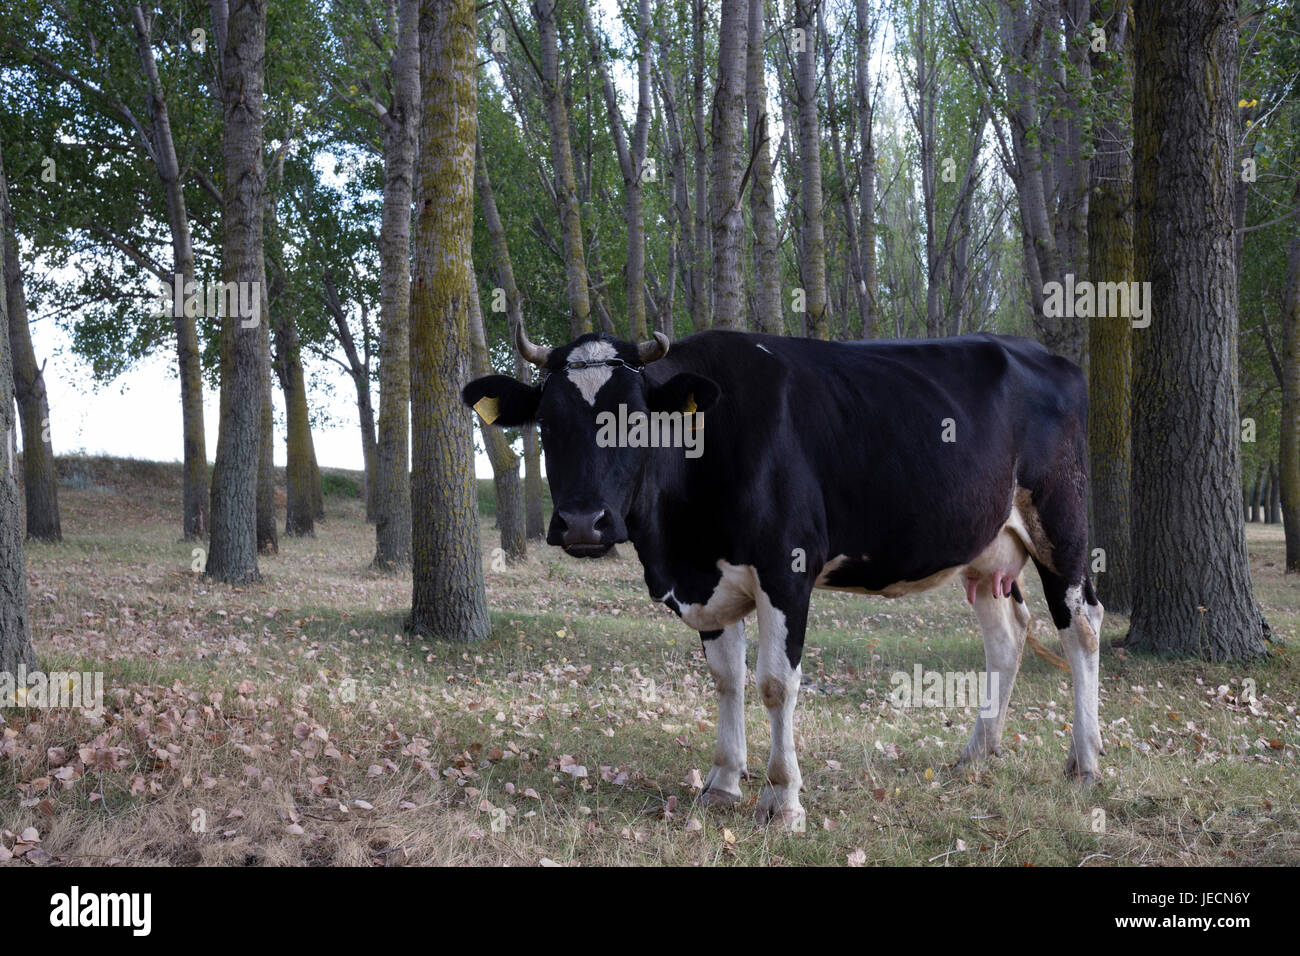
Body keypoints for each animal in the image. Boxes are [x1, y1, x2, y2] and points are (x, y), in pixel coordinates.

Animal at [463, 325, 1104, 828]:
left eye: (637, 420)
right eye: (546, 421)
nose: (581, 523)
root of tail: (1042, 352)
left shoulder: (785, 569)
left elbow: (775, 684)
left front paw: (782, 799)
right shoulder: (712, 583)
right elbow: (727, 680)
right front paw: (722, 783)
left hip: (1062, 518)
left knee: (1081, 626)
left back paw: (1086, 761)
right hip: (988, 548)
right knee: (1007, 634)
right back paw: (976, 754)